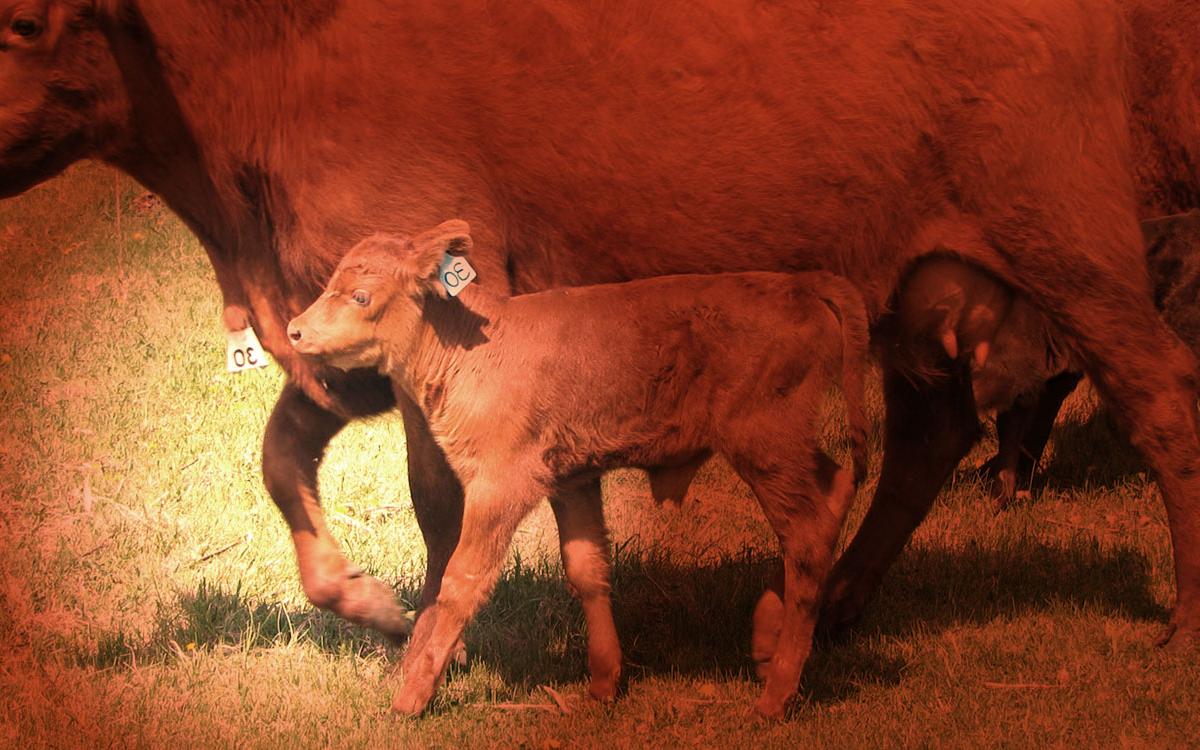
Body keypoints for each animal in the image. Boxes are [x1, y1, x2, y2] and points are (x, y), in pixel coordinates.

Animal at [285, 222, 870, 717]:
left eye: (361, 296)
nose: (294, 331)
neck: (478, 349)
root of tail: (798, 285)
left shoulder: (498, 485)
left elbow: (460, 581)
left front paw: (412, 696)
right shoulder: (572, 480)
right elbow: (587, 568)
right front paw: (604, 682)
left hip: (764, 443)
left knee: (808, 534)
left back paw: (777, 693)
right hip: (786, 447)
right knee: (835, 492)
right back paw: (768, 642)